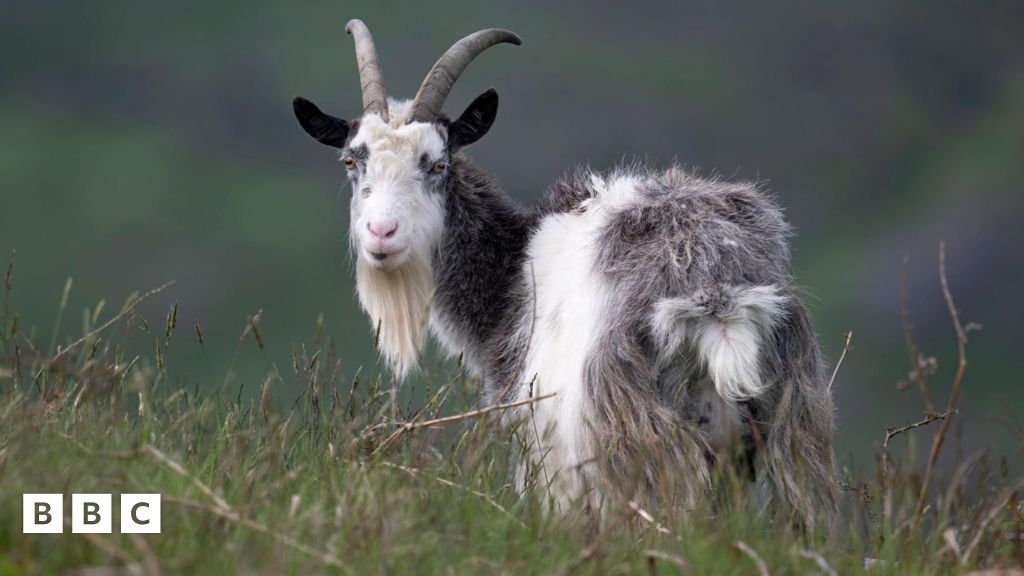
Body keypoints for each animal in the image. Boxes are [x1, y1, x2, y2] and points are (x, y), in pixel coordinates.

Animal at [292, 20, 838, 533]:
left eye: (437, 164)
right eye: (351, 161)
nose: (381, 233)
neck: (512, 273)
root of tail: (717, 296)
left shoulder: (545, 455)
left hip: (634, 444)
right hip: (790, 435)